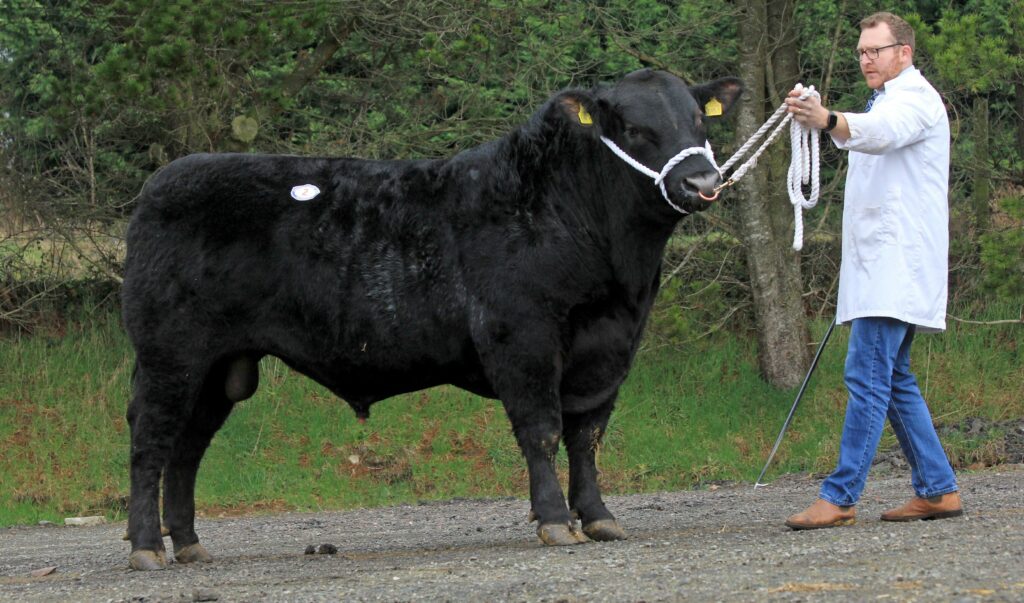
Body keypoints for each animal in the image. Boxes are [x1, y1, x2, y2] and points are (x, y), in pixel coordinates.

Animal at [121, 68, 743, 570]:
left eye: (698, 122)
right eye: (636, 129)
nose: (702, 182)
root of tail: (161, 183)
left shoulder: (609, 349)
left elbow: (587, 436)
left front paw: (597, 517)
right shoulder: (522, 338)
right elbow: (542, 430)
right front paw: (554, 522)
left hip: (219, 367)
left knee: (188, 446)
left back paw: (189, 543)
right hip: (168, 354)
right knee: (151, 440)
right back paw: (147, 547)